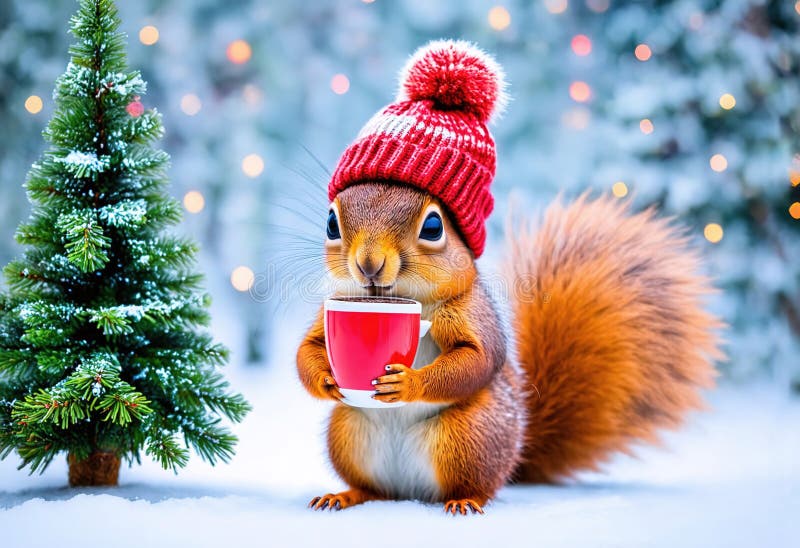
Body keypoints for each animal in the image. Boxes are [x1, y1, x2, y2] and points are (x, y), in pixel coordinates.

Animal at [296, 40, 722, 515]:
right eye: (331, 223)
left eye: (433, 227)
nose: (368, 265)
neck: (402, 300)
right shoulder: (335, 302)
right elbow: (308, 348)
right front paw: (325, 378)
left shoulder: (472, 312)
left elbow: (478, 359)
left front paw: (409, 381)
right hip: (347, 431)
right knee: (373, 488)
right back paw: (345, 494)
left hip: (470, 434)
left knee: (473, 483)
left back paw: (465, 500)